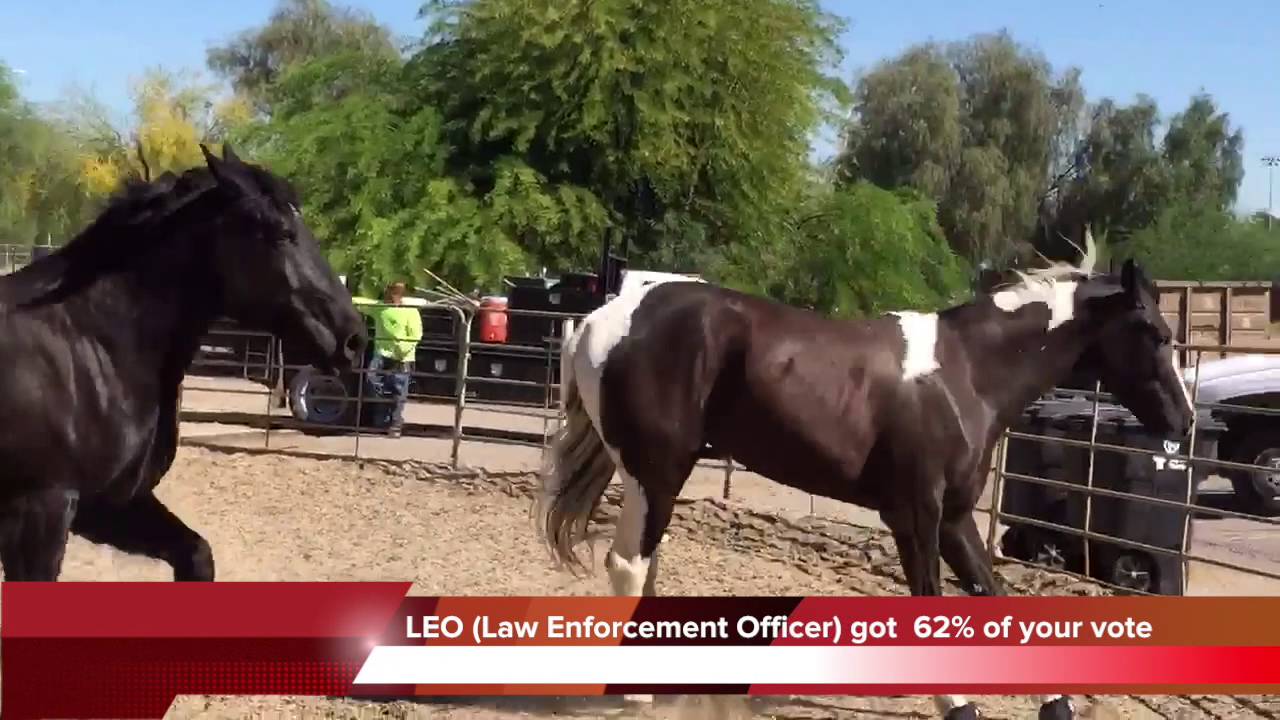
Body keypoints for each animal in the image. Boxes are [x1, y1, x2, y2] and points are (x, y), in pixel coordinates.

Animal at [0, 144, 366, 582]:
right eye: (281, 233)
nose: (354, 339)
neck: (90, 342)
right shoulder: (42, 510)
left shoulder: (107, 504)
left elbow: (197, 554)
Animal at [536, 231, 1193, 720]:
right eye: (1155, 334)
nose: (1183, 421)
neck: (966, 375)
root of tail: (602, 319)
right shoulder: (916, 515)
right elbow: (931, 605)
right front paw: (958, 704)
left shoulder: (955, 519)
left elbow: (997, 600)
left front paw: (1056, 704)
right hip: (657, 471)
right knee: (630, 564)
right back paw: (638, 692)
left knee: (644, 563)